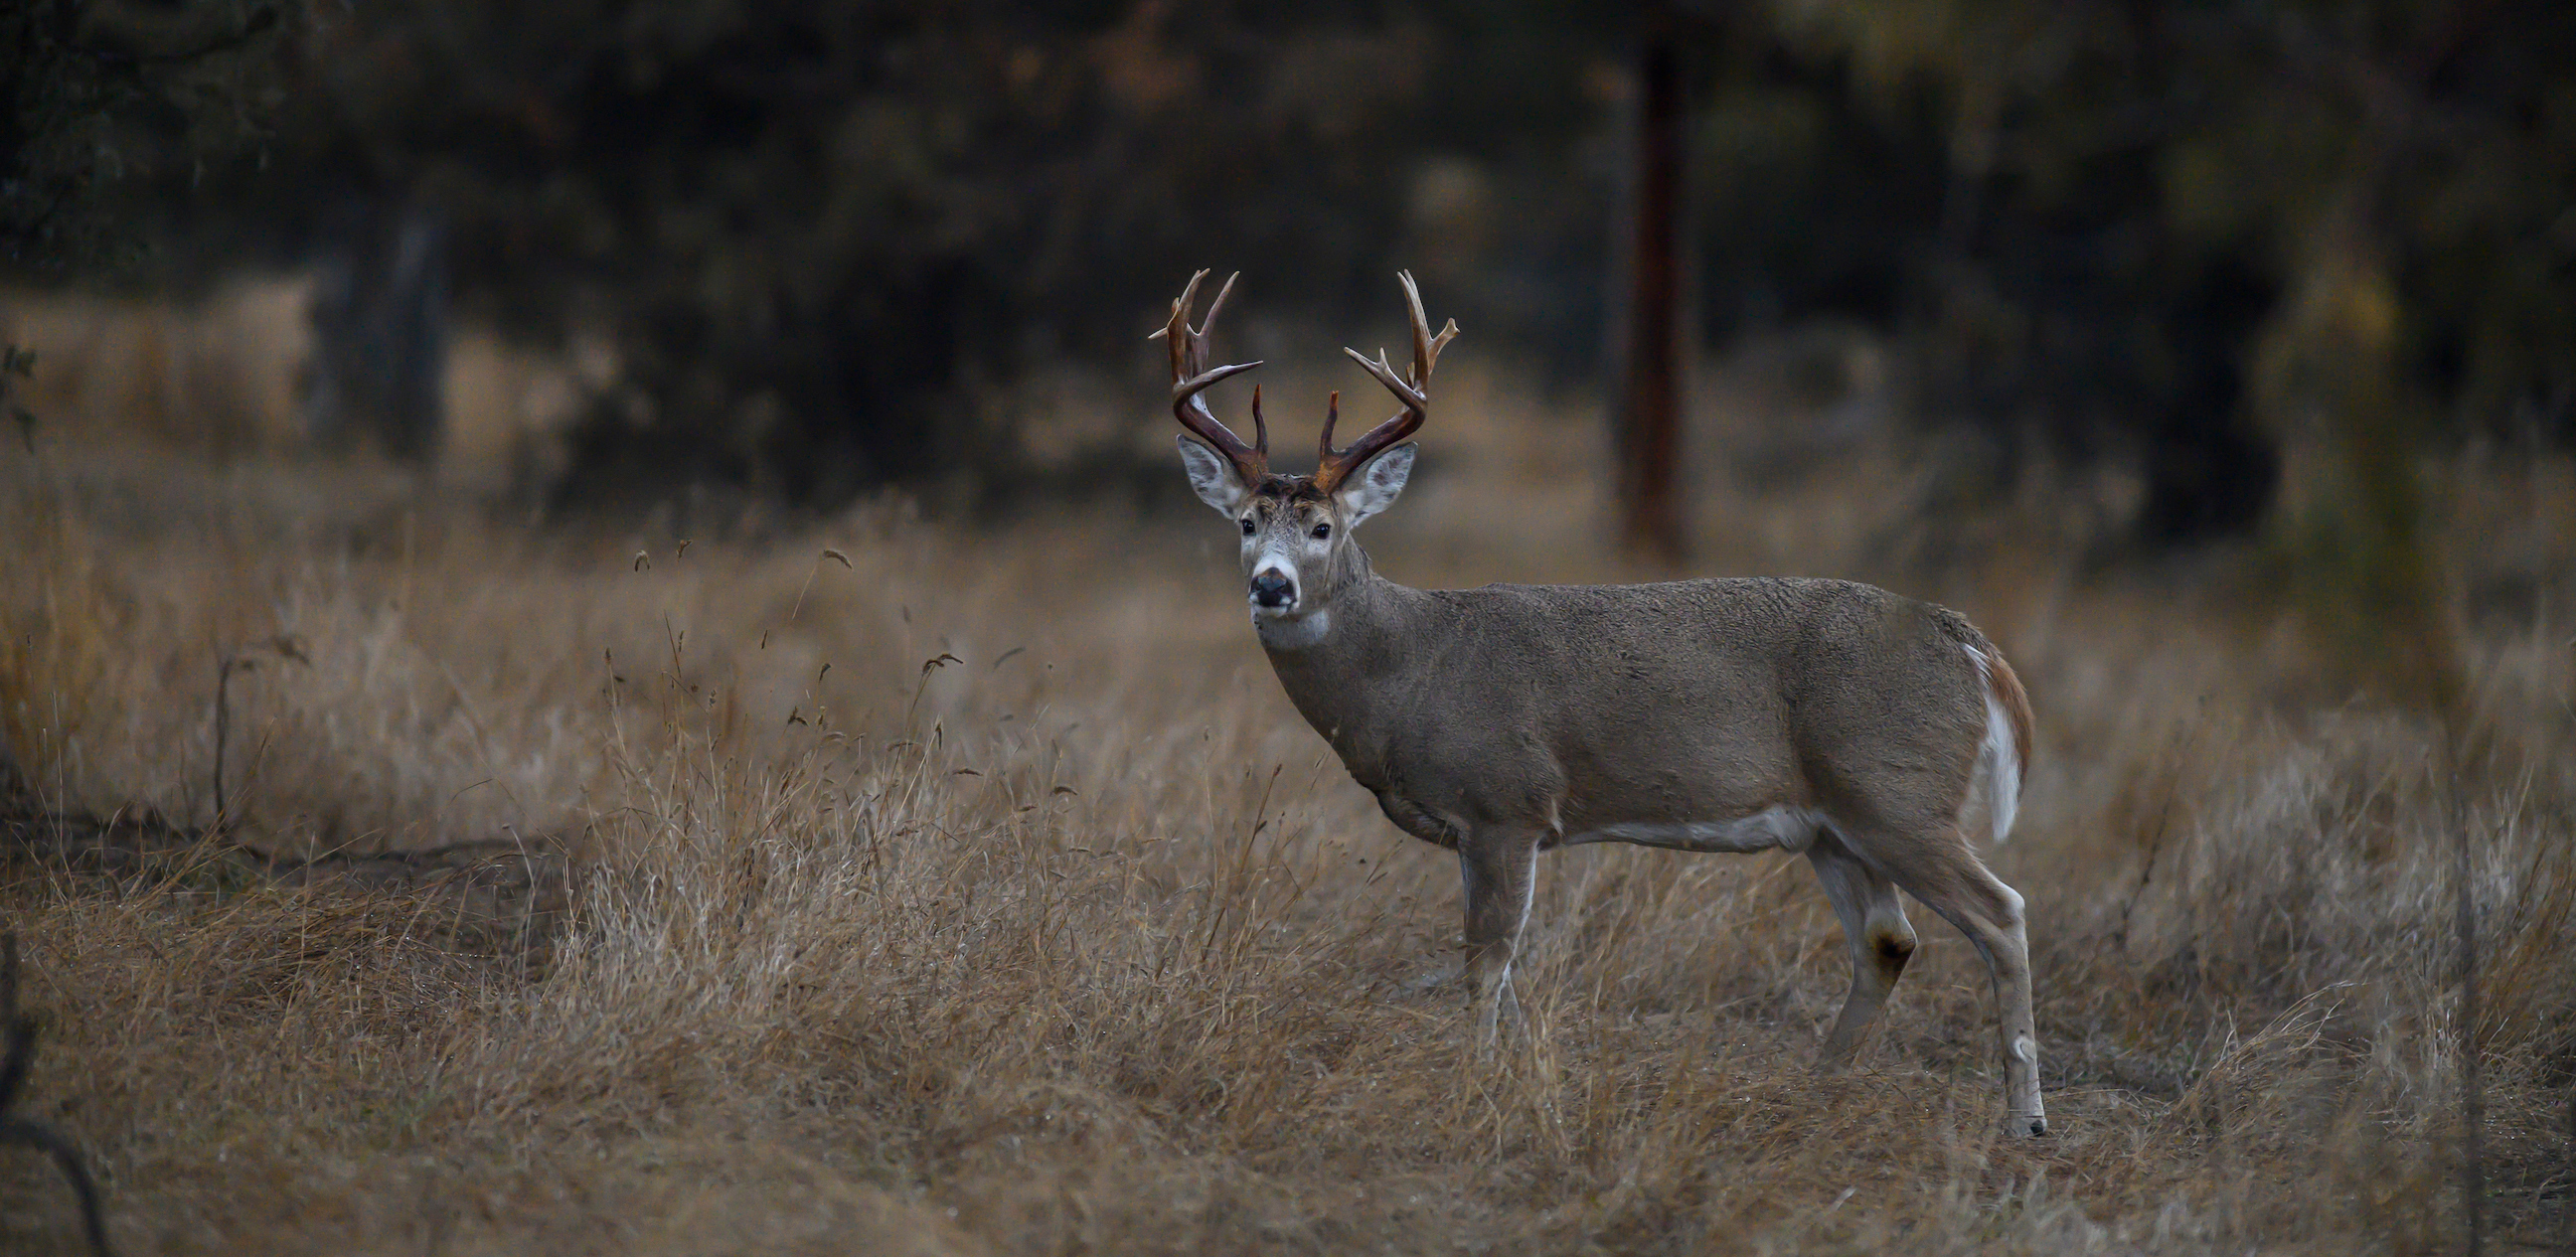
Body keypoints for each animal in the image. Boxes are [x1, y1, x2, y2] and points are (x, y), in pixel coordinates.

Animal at [1154, 269, 2047, 1136]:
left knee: (2001, 912)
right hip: (1835, 824)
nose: (1272, 586)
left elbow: (1485, 962)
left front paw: (1475, 1087)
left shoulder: (1508, 803)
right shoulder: (1478, 830)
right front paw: (1514, 1078)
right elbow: (1503, 971)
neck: (1410, 667)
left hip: (1897, 793)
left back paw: (2025, 1119)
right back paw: (1813, 1088)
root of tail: (1971, 643)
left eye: (1323, 529)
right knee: (1888, 939)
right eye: (1244, 523)